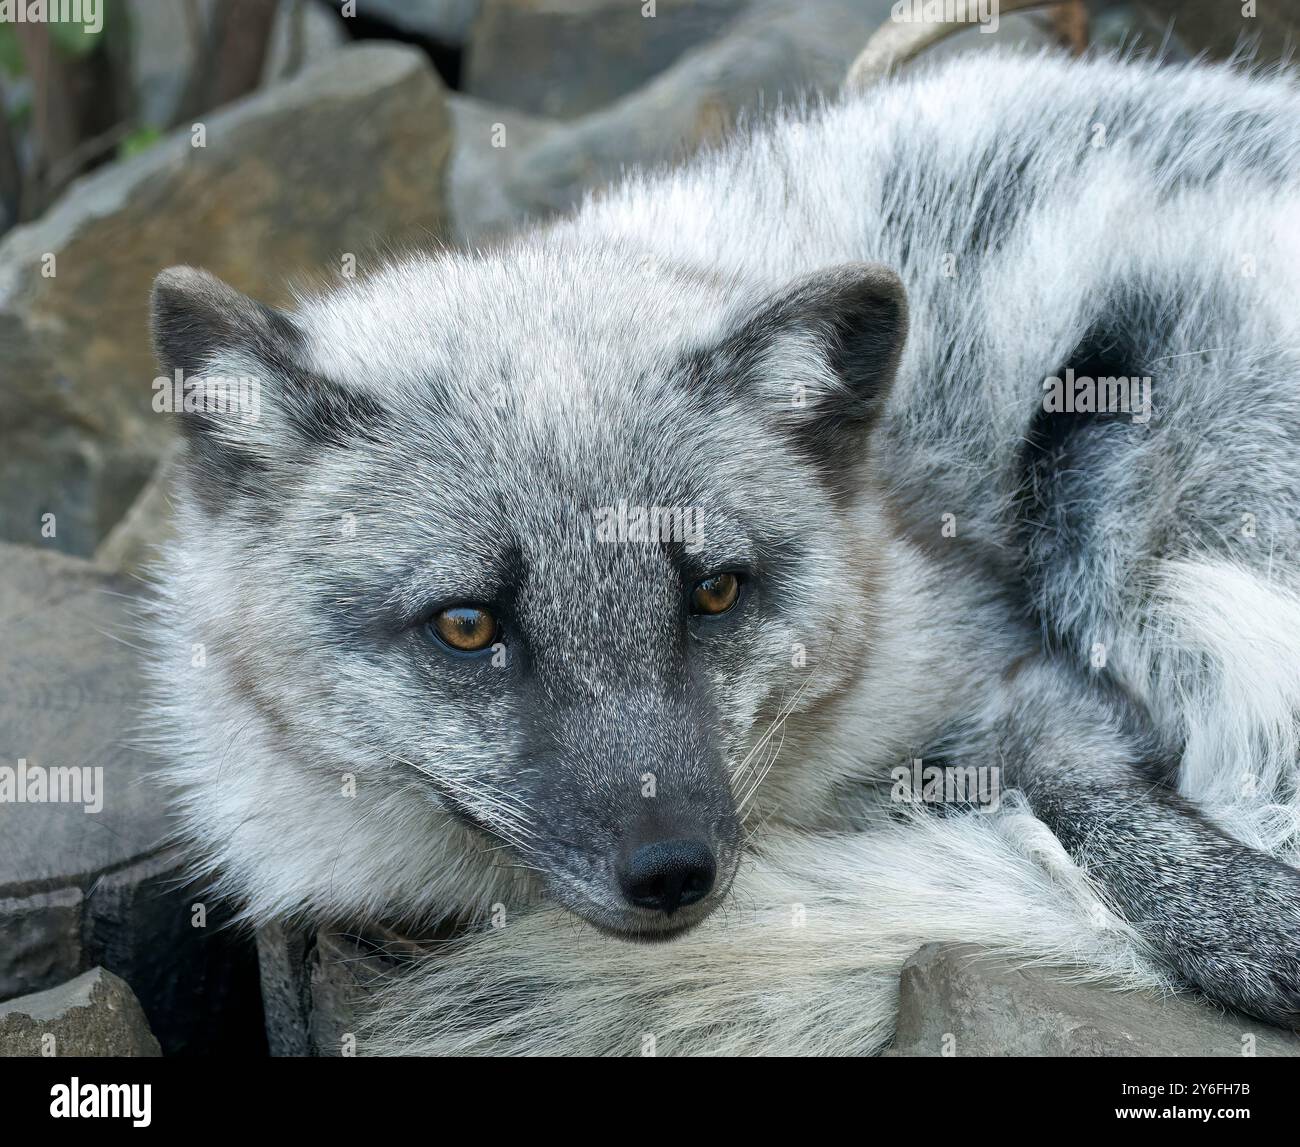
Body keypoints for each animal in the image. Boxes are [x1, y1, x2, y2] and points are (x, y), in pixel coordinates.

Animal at [147, 49, 1300, 1056]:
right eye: (466, 626)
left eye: (713, 592)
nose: (671, 872)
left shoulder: (1009, 655)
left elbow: (1094, 793)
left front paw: (1243, 923)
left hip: (1107, 474)